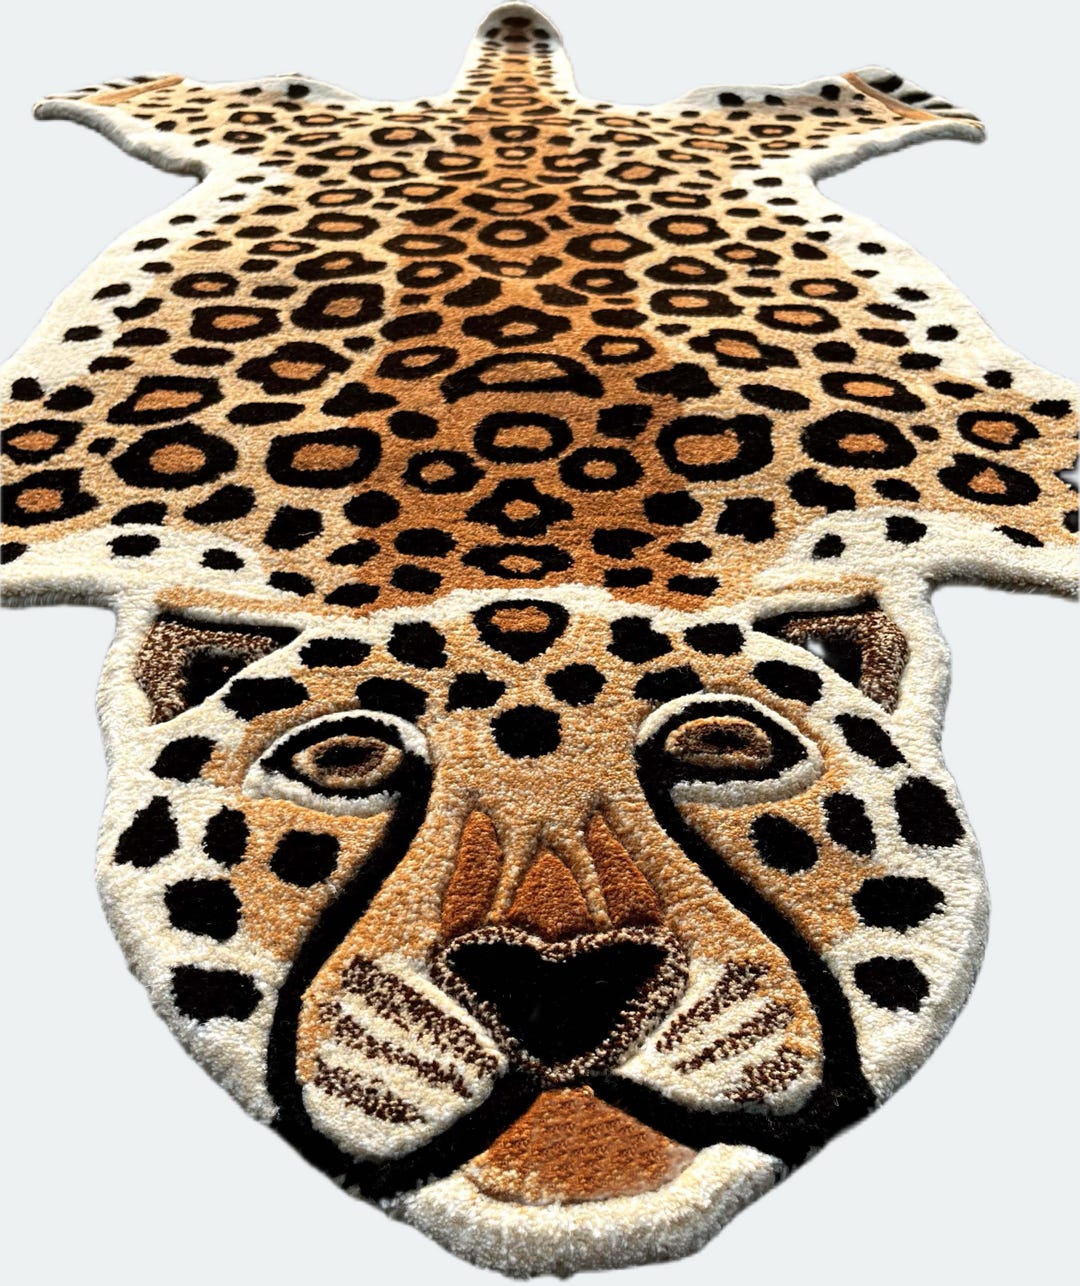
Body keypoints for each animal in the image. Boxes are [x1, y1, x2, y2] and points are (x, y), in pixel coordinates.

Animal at [1, 4, 1075, 1276]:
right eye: (347, 761)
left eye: (725, 748)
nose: (561, 981)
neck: (518, 547)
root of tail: (513, 98)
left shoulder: (985, 452)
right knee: (270, 99)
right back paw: (117, 82)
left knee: (737, 114)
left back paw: (894, 94)